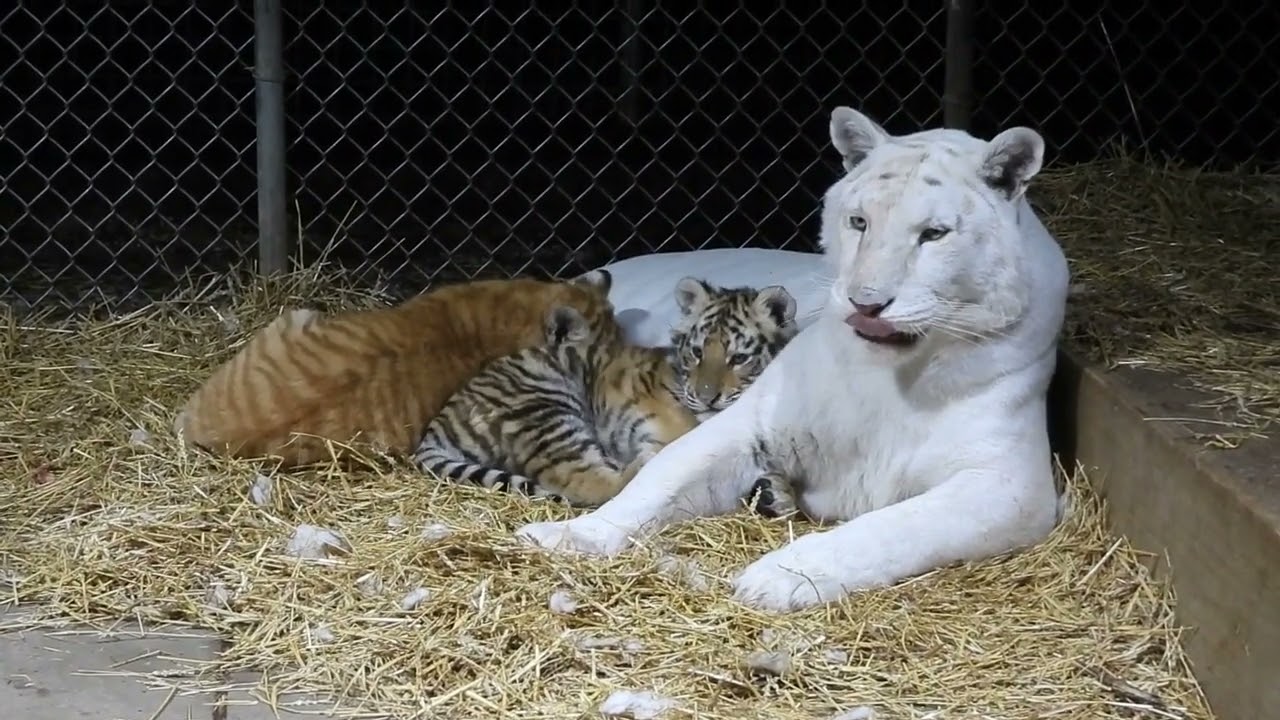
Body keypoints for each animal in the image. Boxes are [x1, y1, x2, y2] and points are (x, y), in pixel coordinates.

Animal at [411, 277, 800, 508]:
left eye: (739, 358)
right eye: (697, 352)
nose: (705, 398)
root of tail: (438, 425)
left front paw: (775, 495)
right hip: (546, 407)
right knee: (589, 483)